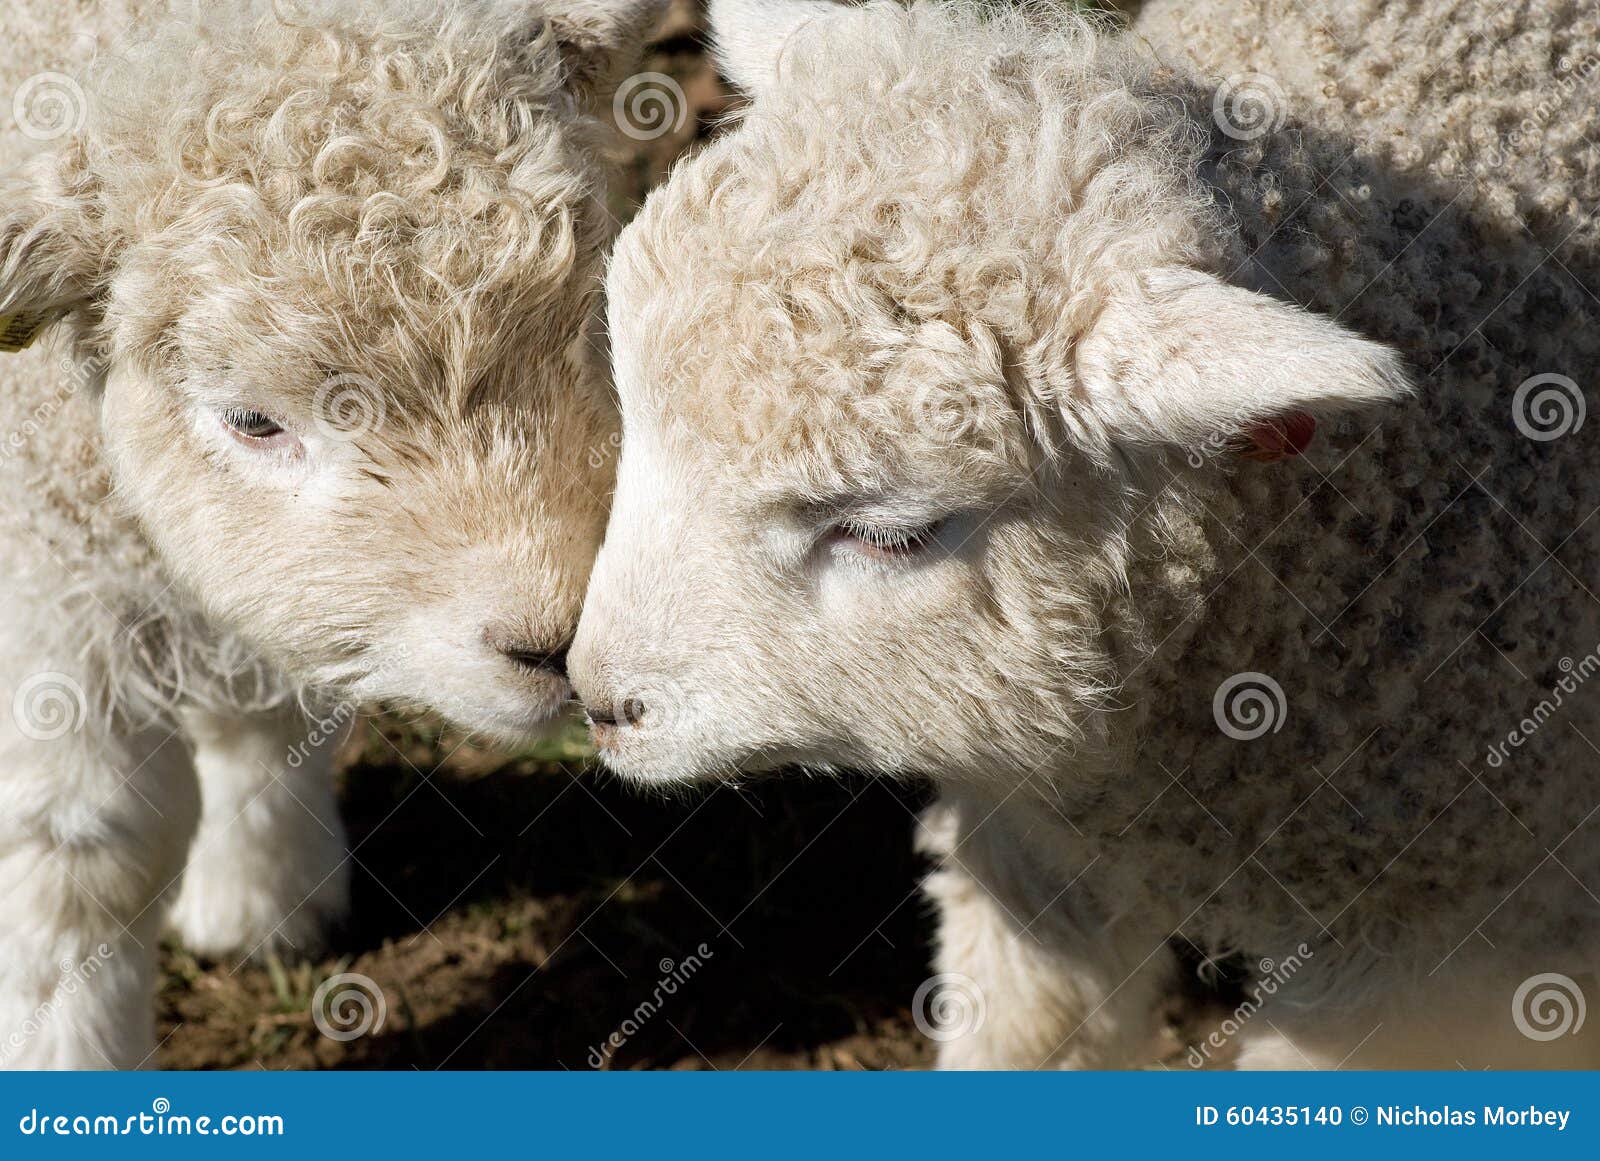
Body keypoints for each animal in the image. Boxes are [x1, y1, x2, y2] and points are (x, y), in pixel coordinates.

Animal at [0, 0, 662, 1068]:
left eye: (591, 318)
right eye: (252, 421)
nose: (559, 641)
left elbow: (275, 693)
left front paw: (262, 894)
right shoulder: (43, 557)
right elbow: (76, 861)